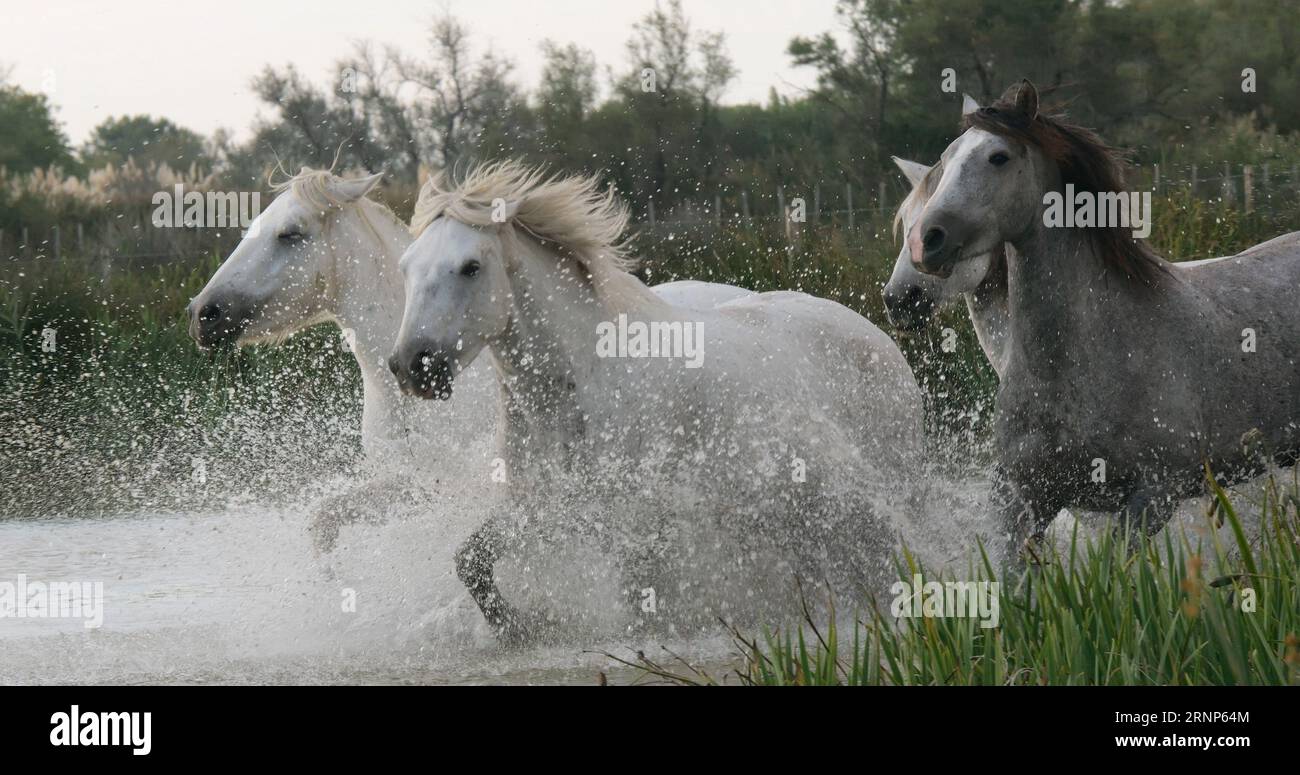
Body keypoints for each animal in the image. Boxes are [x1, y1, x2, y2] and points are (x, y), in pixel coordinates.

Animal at [388, 162, 925, 643]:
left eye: (471, 267)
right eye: (406, 268)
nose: (412, 365)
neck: (581, 385)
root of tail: (878, 335)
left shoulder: (628, 520)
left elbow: (638, 602)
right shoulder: (544, 505)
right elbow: (472, 560)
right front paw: (524, 626)